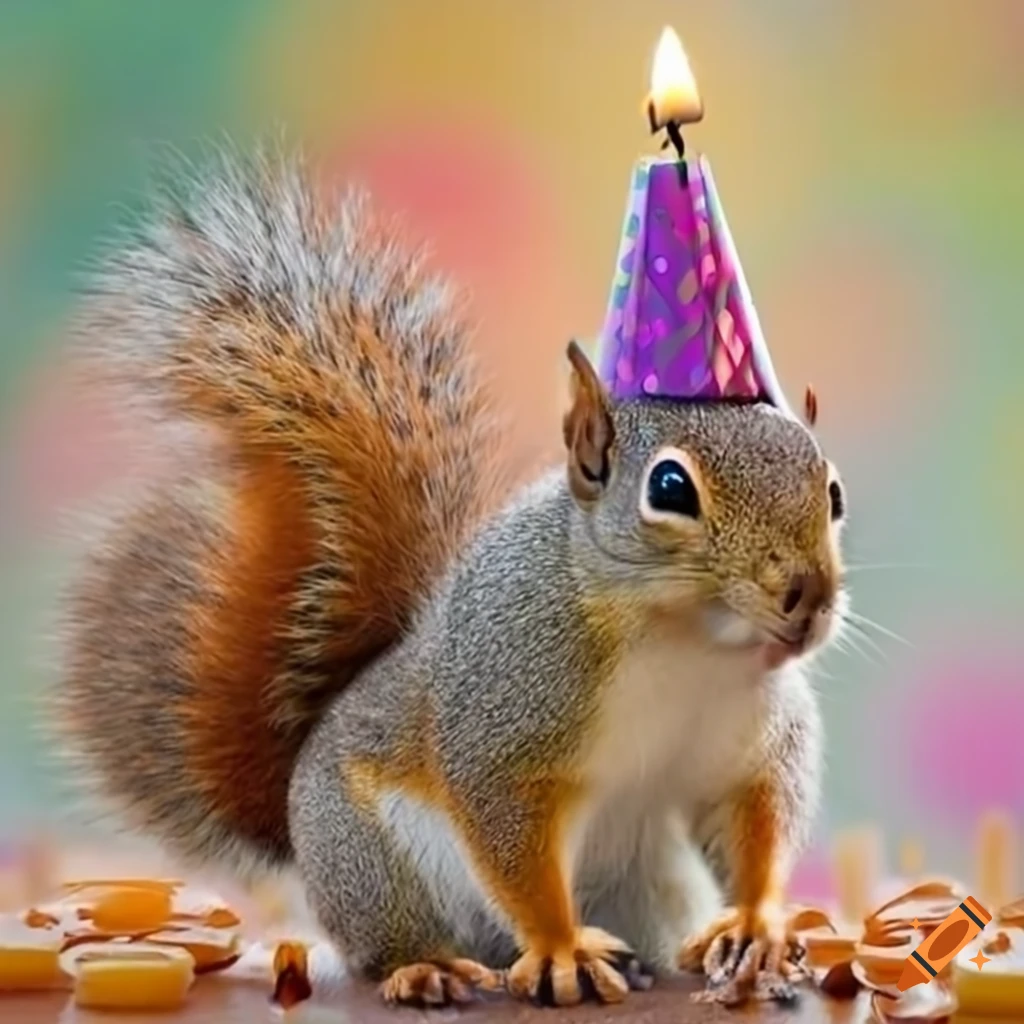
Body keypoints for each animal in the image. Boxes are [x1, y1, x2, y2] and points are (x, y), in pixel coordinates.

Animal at [57, 146, 848, 1009]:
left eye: (833, 491)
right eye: (669, 488)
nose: (808, 596)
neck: (687, 646)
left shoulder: (751, 744)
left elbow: (761, 815)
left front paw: (757, 926)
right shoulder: (503, 719)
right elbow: (512, 844)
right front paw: (562, 947)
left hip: (654, 876)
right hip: (371, 859)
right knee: (390, 940)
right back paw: (428, 965)